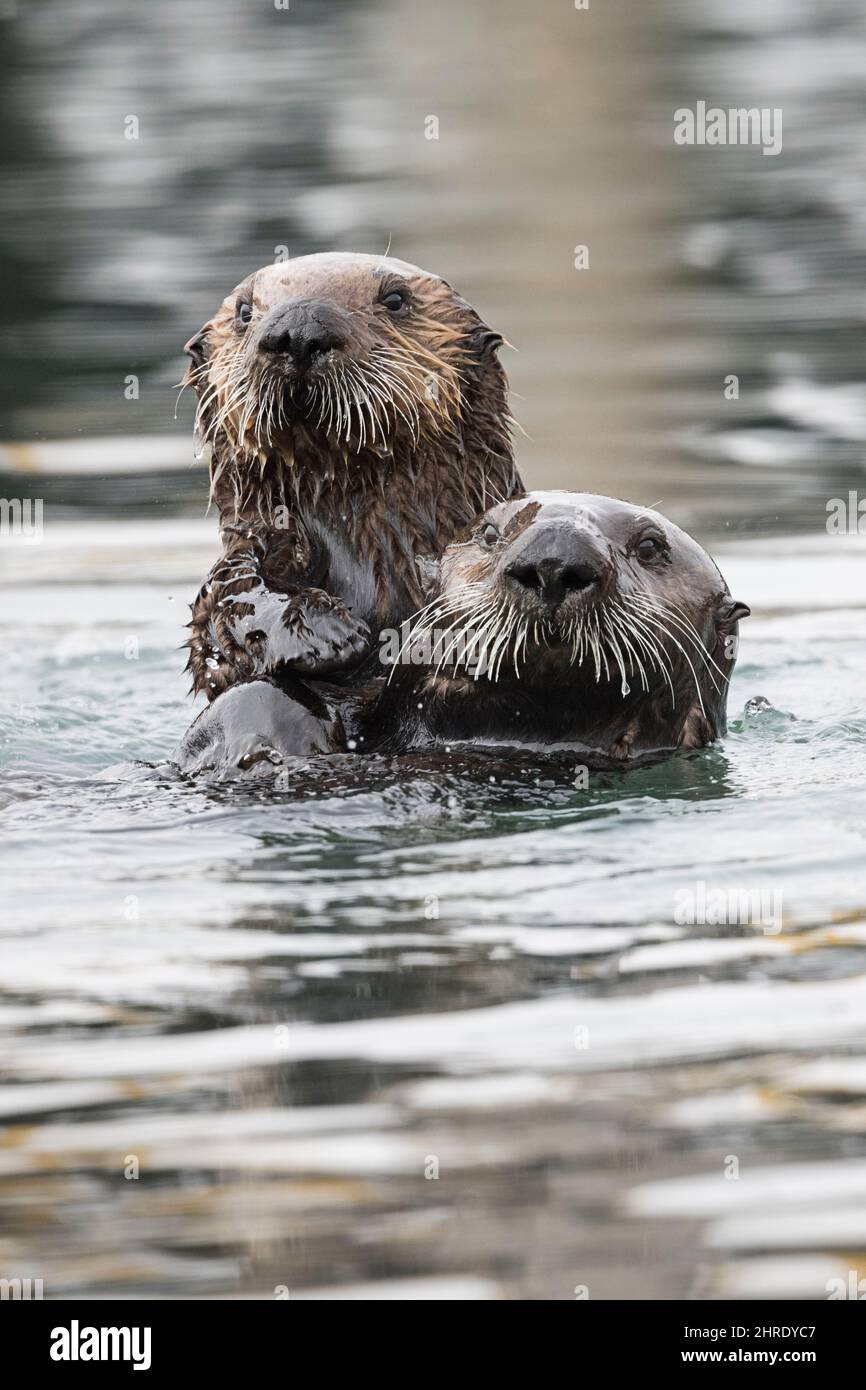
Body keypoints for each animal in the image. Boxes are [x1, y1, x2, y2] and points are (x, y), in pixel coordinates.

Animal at [182, 252, 522, 699]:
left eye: (395, 298)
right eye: (243, 311)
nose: (297, 328)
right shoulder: (255, 533)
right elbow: (232, 594)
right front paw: (324, 633)